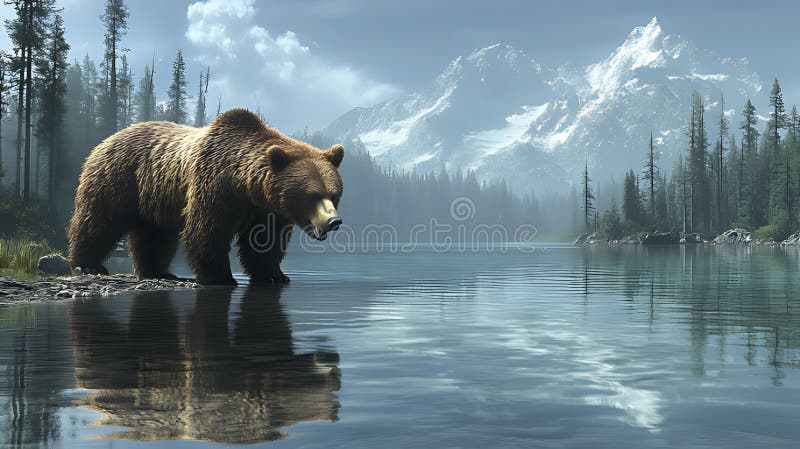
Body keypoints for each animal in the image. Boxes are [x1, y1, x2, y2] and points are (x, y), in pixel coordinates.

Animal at [67, 109, 344, 285]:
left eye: (334, 194)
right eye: (312, 195)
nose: (333, 222)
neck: (244, 185)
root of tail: (106, 140)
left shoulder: (266, 210)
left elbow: (264, 242)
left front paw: (274, 275)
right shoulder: (215, 185)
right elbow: (207, 230)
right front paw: (220, 277)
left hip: (155, 198)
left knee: (155, 234)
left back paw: (158, 272)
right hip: (119, 178)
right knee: (98, 220)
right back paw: (88, 264)